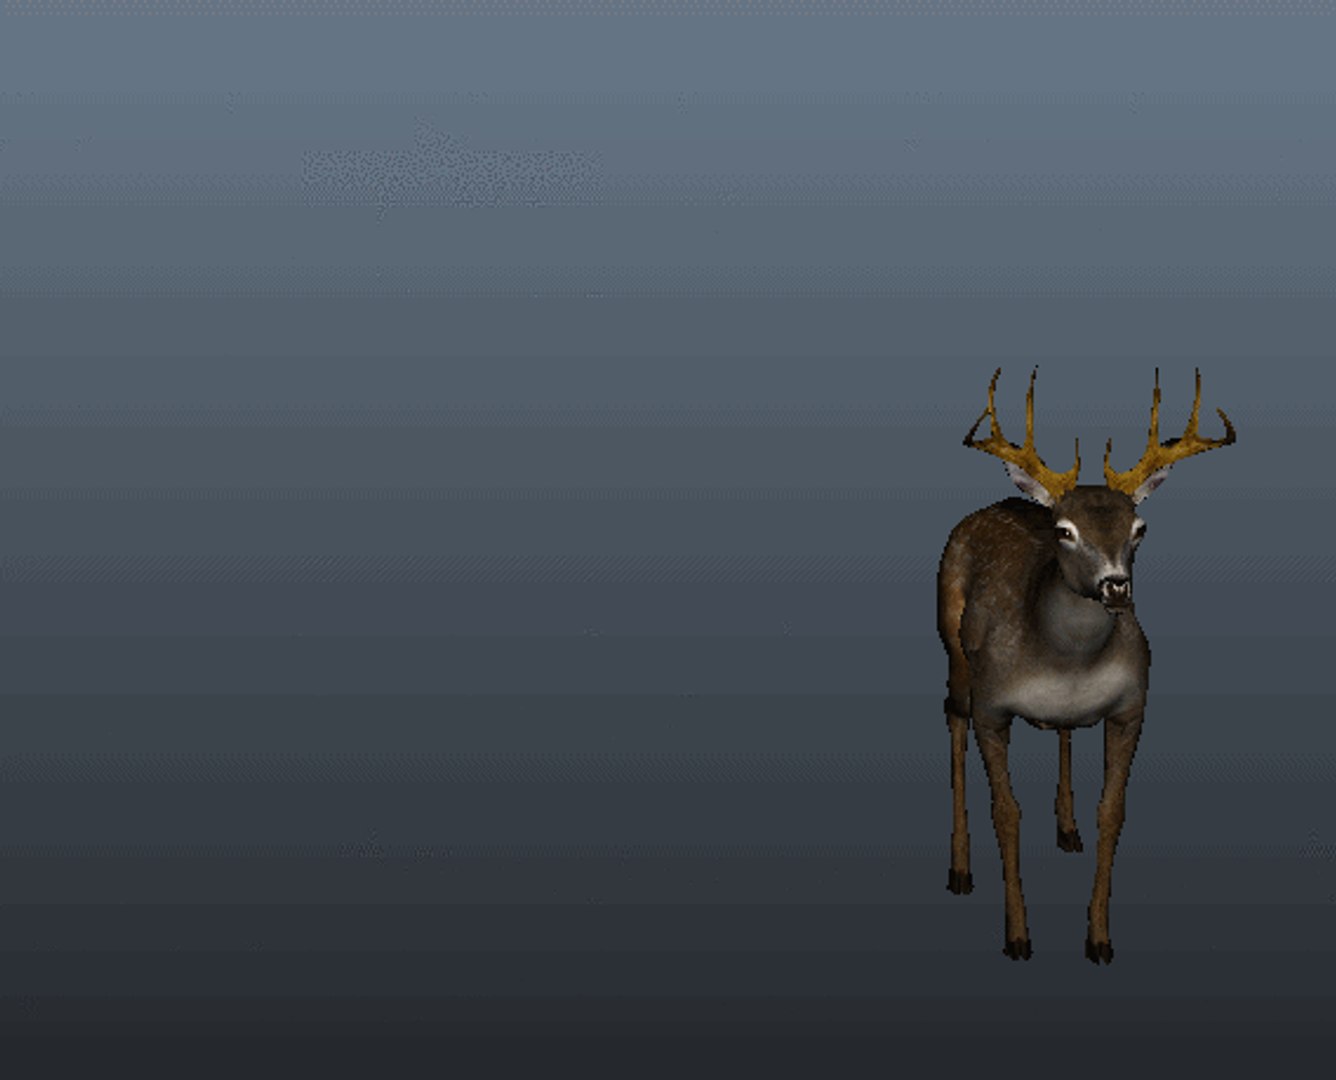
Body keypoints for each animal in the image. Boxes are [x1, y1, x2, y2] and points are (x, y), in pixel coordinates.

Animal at [937, 366, 1235, 963]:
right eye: (1064, 530)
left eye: (1139, 527)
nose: (1116, 587)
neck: (1064, 662)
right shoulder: (992, 707)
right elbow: (1006, 813)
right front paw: (1018, 936)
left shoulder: (1131, 706)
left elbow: (1112, 813)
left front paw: (1099, 938)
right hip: (953, 644)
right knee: (951, 714)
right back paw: (959, 869)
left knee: (1065, 732)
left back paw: (1067, 828)